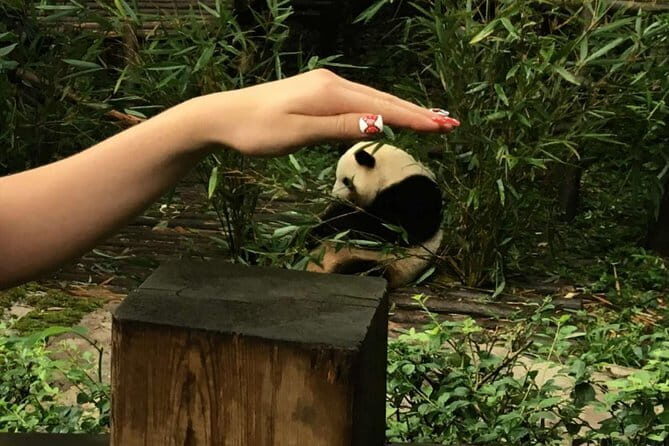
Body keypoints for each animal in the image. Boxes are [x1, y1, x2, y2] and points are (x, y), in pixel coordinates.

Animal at [306, 141, 444, 289]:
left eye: (346, 181)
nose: (336, 196)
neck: (392, 173)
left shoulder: (415, 193)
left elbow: (391, 228)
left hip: (390, 263)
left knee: (363, 270)